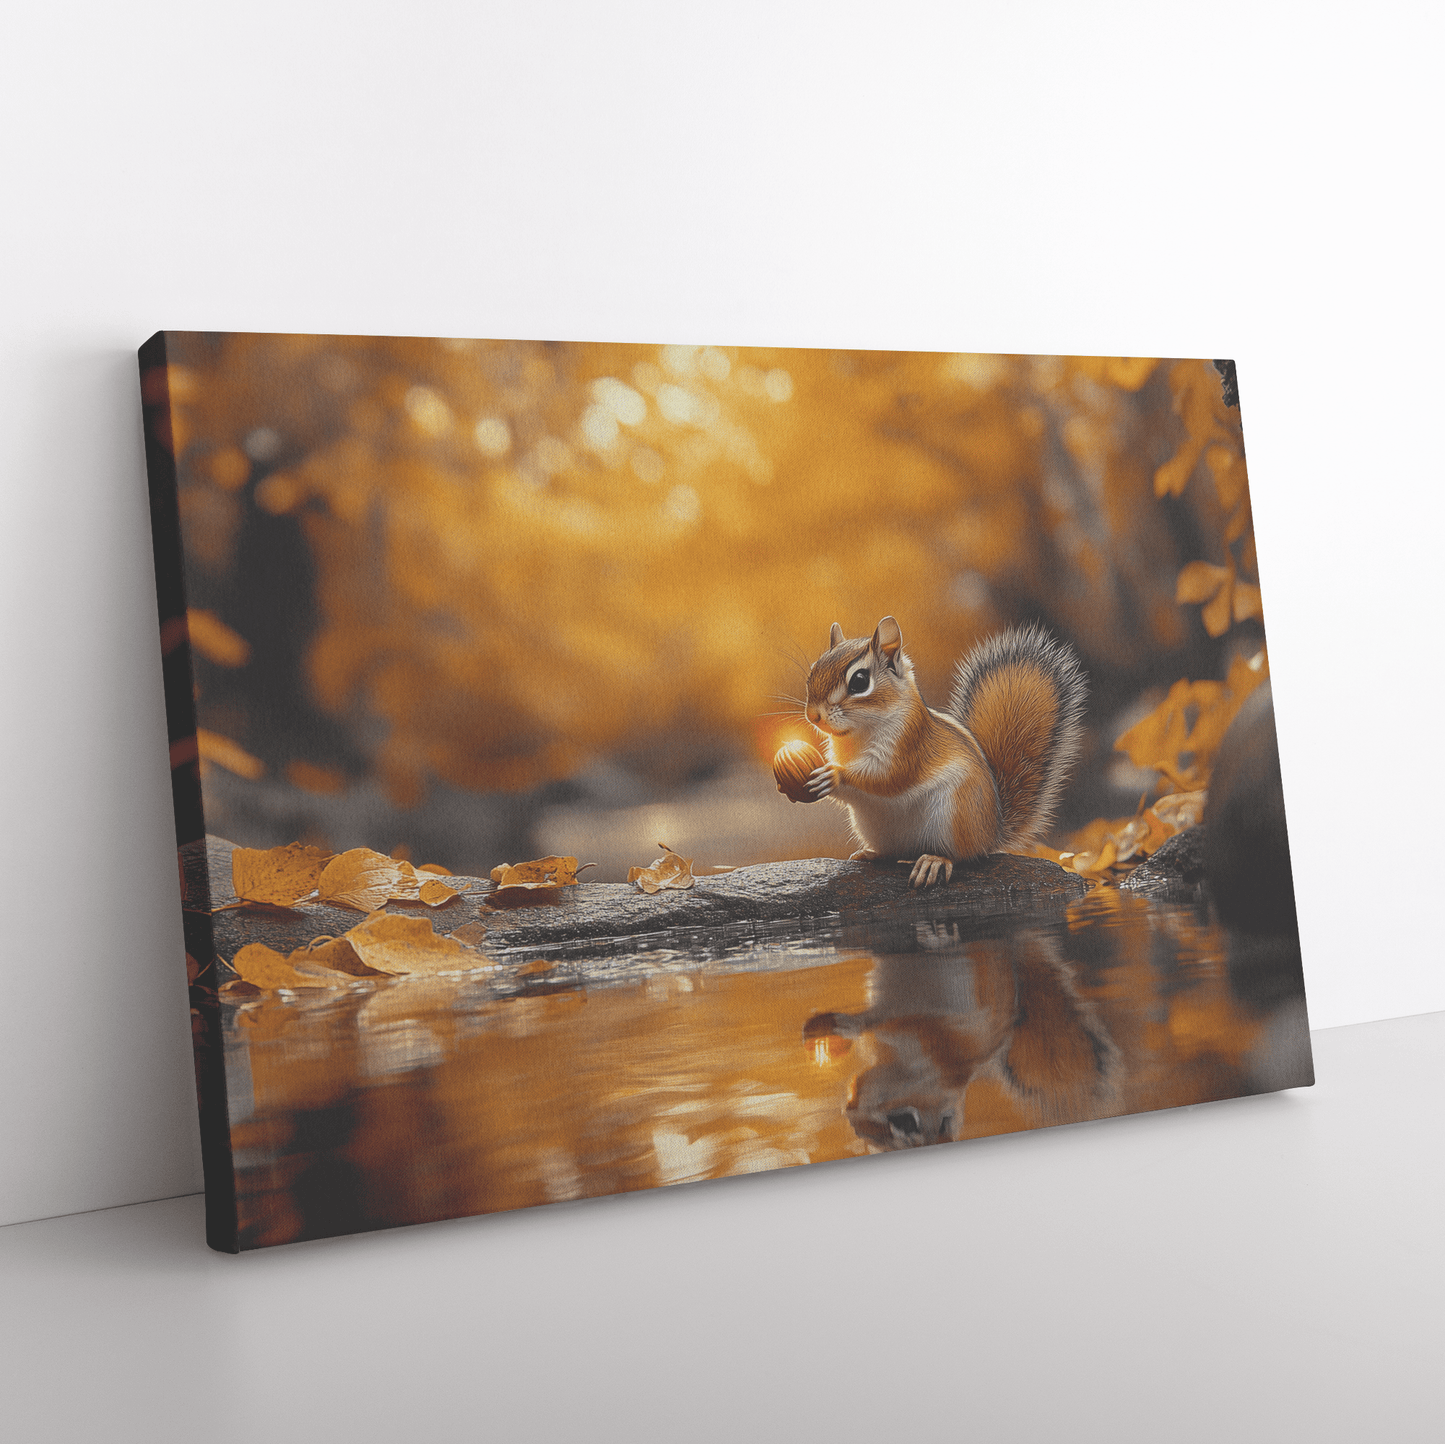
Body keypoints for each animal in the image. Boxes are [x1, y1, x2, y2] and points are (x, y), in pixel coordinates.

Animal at [804, 617, 1087, 887]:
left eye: (860, 681)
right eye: (812, 671)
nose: (813, 716)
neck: (856, 734)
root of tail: (991, 833)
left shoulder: (909, 745)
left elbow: (888, 776)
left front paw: (835, 775)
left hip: (955, 816)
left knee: (960, 856)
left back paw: (934, 860)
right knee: (895, 853)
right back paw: (872, 854)